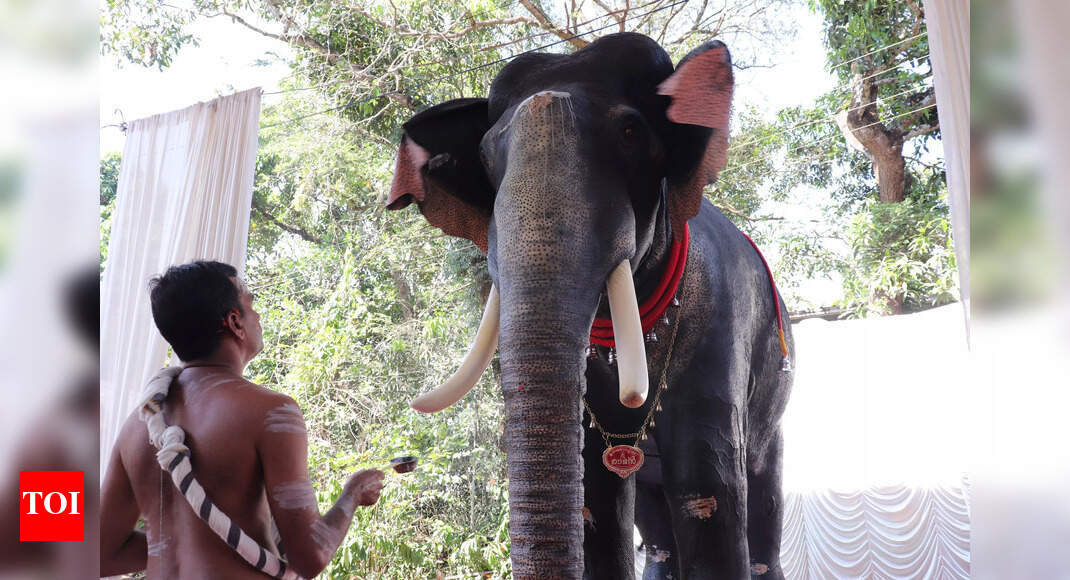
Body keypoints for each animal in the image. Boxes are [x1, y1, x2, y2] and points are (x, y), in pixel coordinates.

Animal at [386, 32, 794, 579]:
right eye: (487, 155)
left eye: (630, 131)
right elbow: (597, 493)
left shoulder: (720, 323)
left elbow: (706, 483)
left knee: (759, 489)